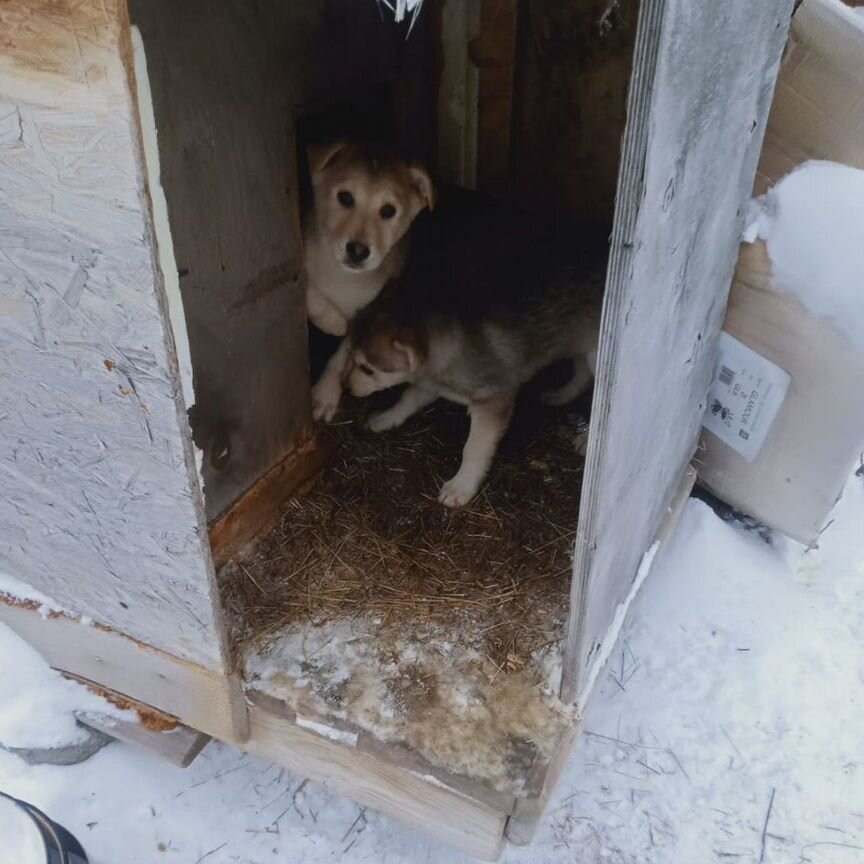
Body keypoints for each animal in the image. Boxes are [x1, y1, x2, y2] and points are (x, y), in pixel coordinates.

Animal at [306, 142, 438, 422]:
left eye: (388, 210)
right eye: (345, 197)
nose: (357, 251)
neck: (344, 277)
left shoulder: (370, 311)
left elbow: (342, 353)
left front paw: (325, 394)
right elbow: (309, 292)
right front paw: (332, 322)